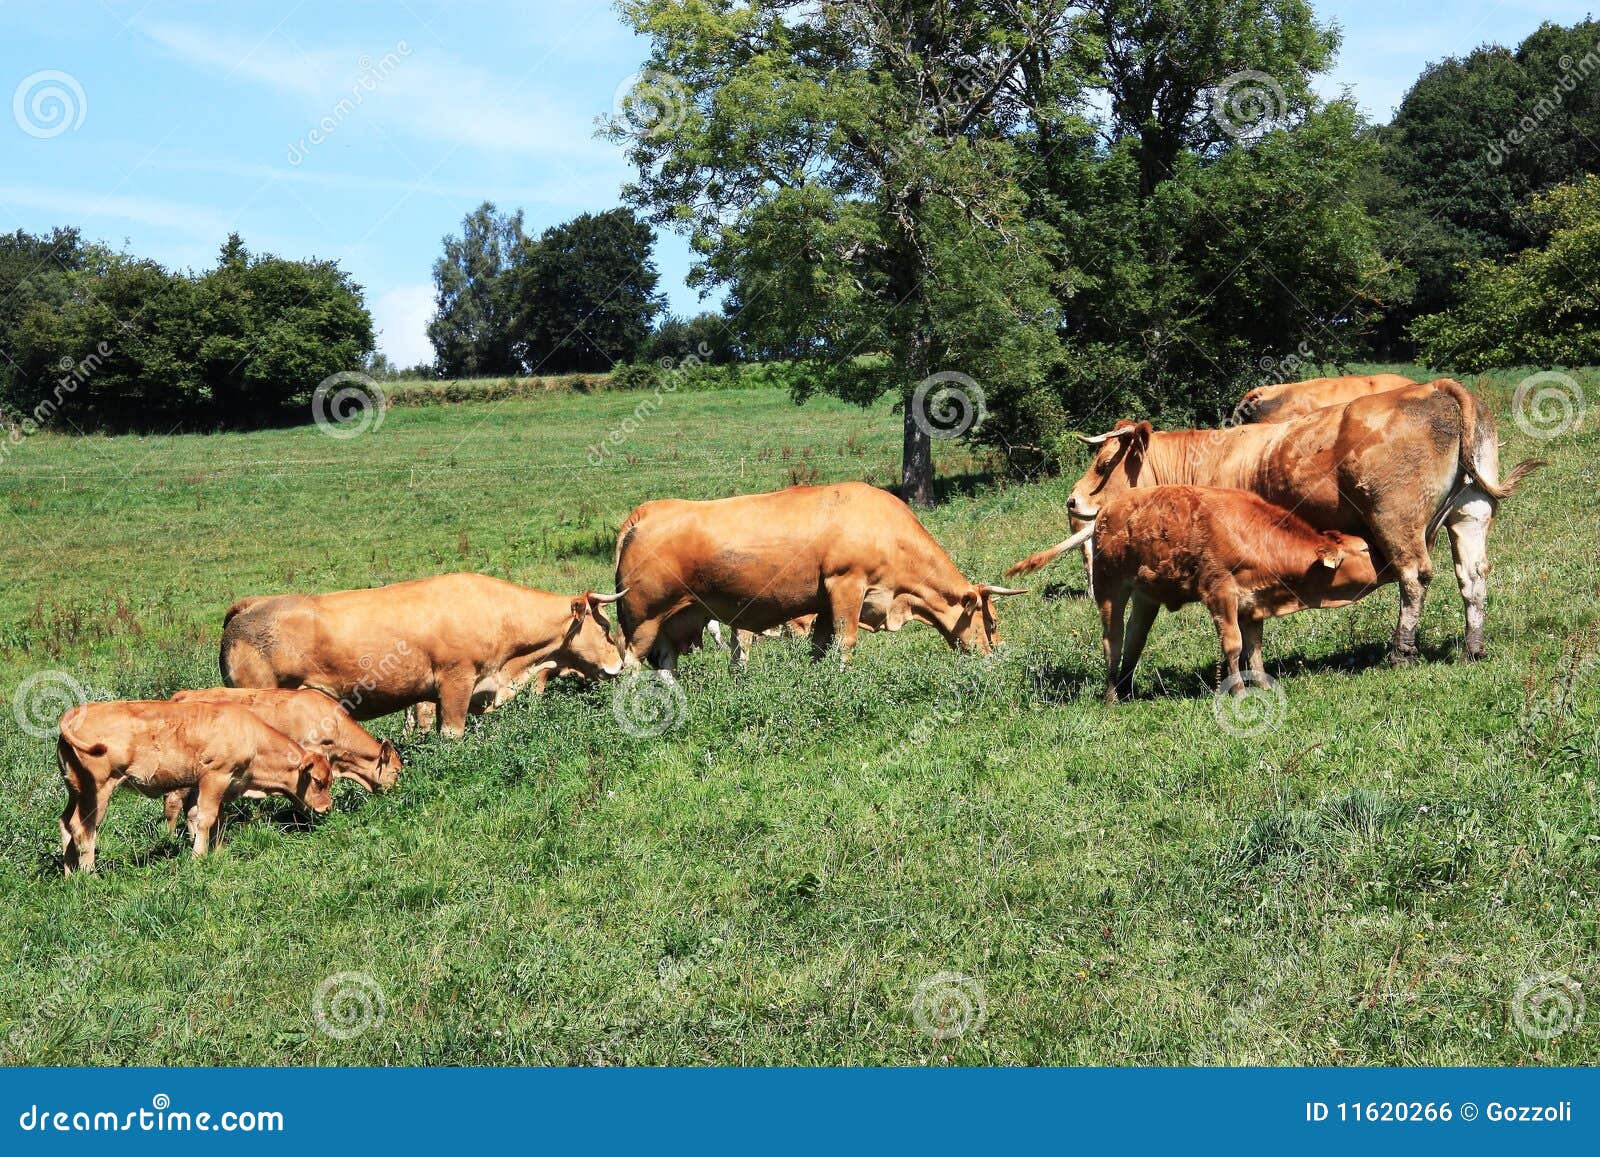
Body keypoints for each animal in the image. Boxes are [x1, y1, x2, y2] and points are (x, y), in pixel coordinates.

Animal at [56, 701, 334, 873]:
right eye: (318, 781)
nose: (327, 808)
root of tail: (78, 712)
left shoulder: (222, 785)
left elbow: (217, 819)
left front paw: (218, 853)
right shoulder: (214, 777)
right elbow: (205, 818)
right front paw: (198, 857)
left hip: (76, 790)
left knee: (66, 823)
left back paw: (71, 874)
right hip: (97, 791)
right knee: (83, 829)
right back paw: (90, 875)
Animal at [613, 483, 1026, 675]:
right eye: (992, 622)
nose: (998, 656)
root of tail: (646, 513)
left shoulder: (823, 603)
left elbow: (820, 646)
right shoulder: (847, 585)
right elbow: (846, 642)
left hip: (671, 620)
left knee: (664, 664)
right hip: (644, 616)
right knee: (631, 665)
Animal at [1008, 486, 1386, 701]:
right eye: (1365, 550)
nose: (1388, 561)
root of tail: (1106, 510)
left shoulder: (1252, 603)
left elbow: (1255, 647)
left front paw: (1262, 683)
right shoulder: (1220, 593)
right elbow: (1233, 645)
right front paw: (1237, 689)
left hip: (1145, 596)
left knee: (1135, 638)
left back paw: (1128, 689)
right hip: (1109, 586)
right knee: (1112, 639)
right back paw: (1112, 694)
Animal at [1059, 379, 1543, 665]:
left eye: (1104, 463)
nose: (1072, 500)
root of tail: (1435, 387)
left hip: (1395, 518)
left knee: (1414, 576)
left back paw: (1401, 652)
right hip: (1470, 513)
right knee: (1472, 577)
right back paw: (1473, 649)